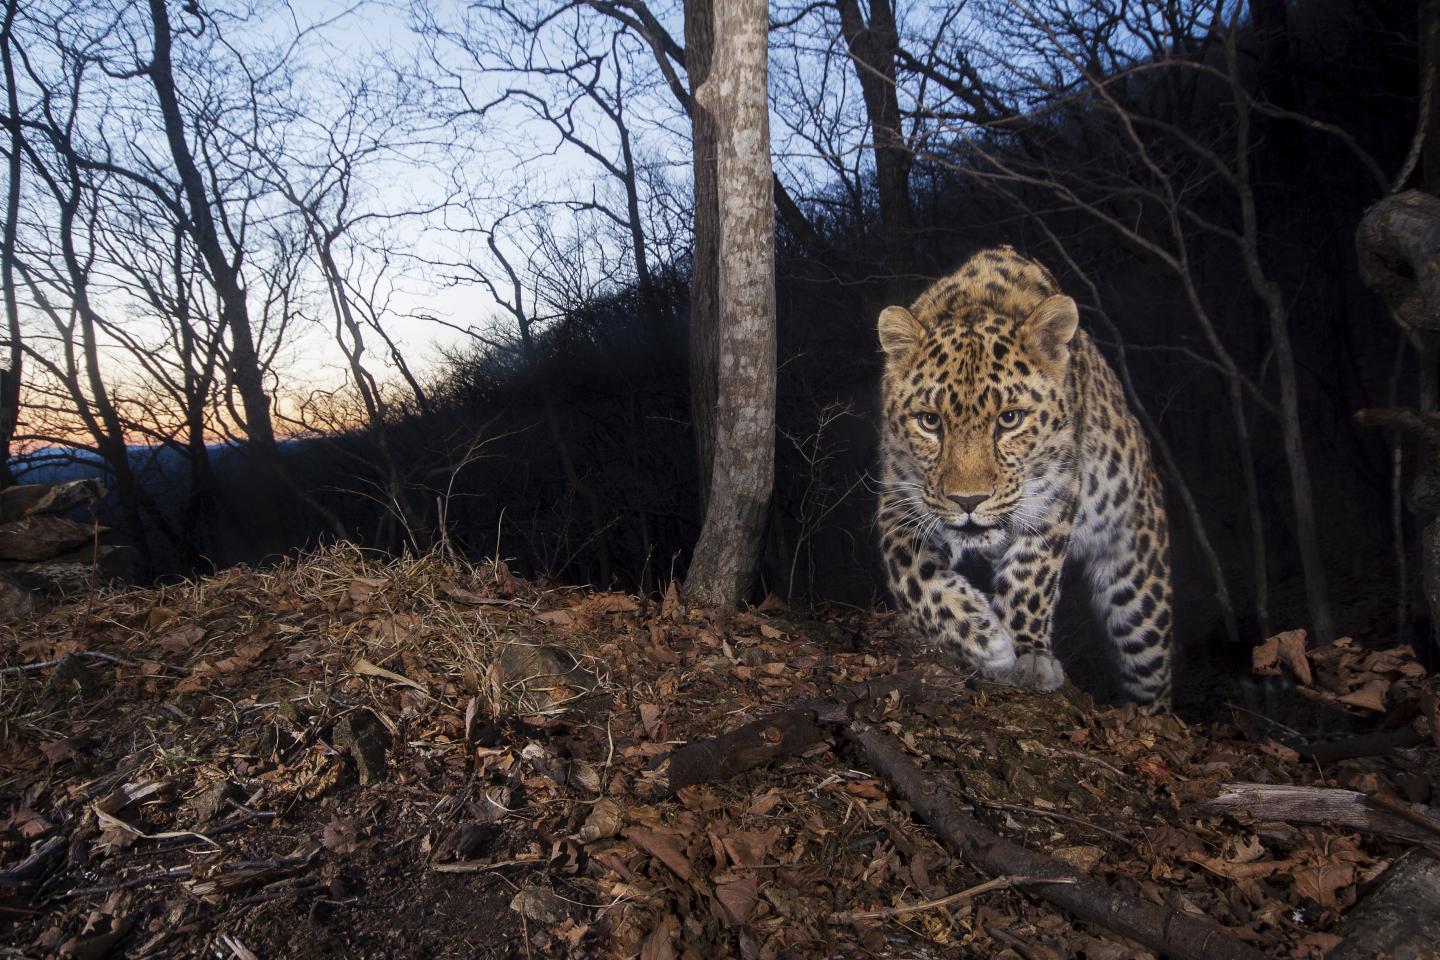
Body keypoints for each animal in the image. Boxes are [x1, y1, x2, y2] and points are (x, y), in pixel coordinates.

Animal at [875, 246, 1172, 708]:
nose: (968, 501)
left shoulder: (1054, 500)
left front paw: (1026, 653)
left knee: (1152, 674)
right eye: (929, 422)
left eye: (1010, 419)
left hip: (1139, 587)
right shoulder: (901, 501)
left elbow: (1031, 576)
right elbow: (912, 575)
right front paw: (982, 638)